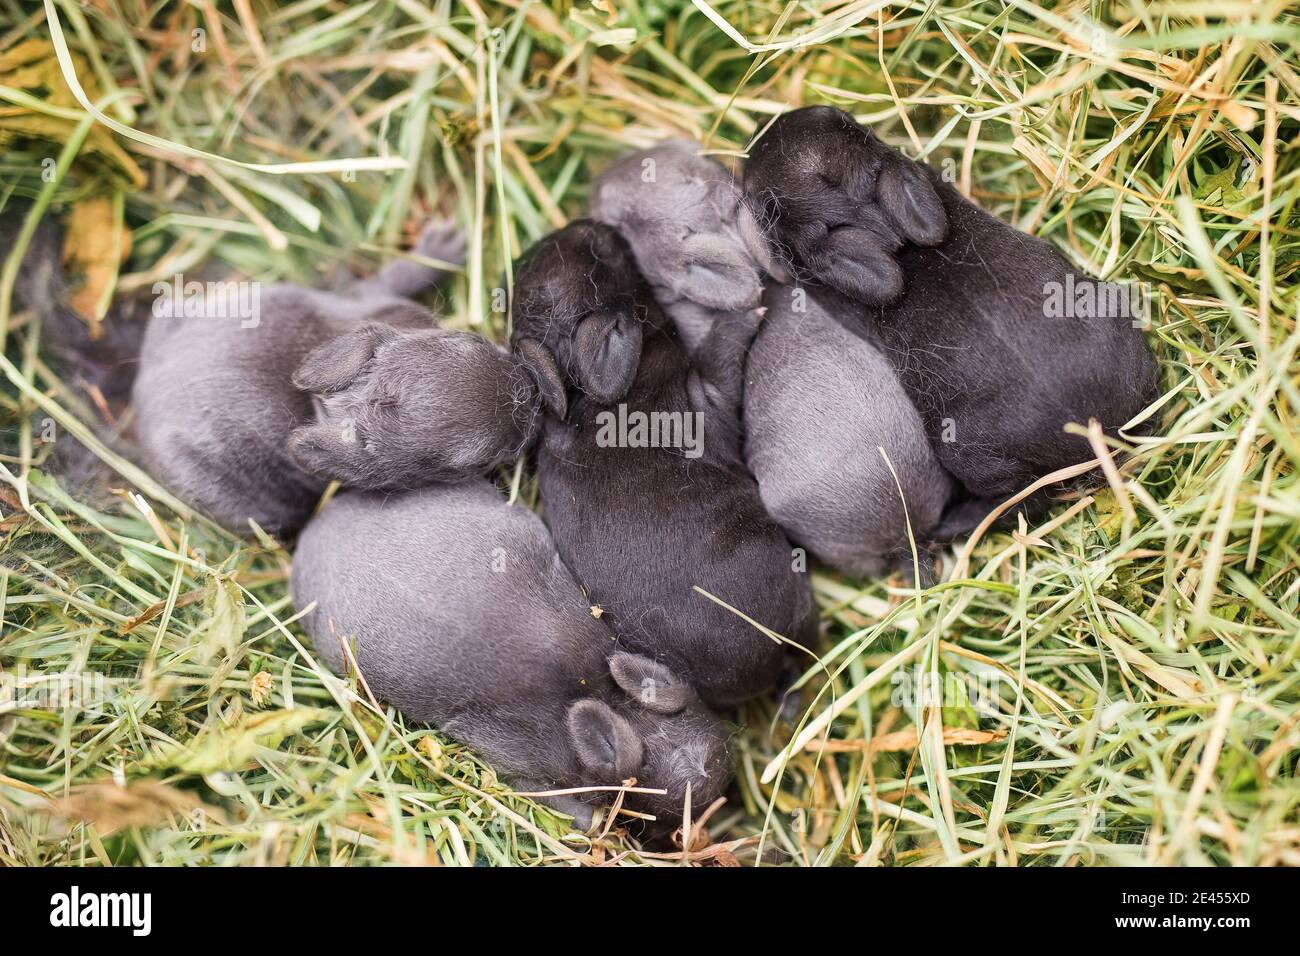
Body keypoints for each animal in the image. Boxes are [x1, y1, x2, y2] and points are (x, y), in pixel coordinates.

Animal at [510, 219, 816, 711]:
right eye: (601, 251)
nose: (593, 223)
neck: (585, 403)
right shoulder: (706, 394)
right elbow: (721, 354)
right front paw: (744, 311)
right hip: (798, 599)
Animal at [744, 106, 1160, 529]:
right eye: (847, 120)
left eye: (761, 201)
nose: (763, 127)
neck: (888, 234)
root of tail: (1088, 427)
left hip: (972, 455)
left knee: (1025, 501)